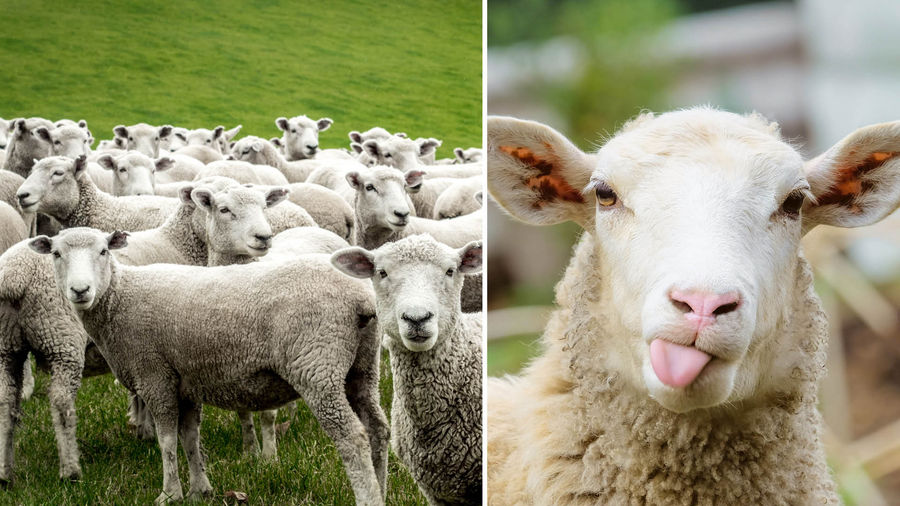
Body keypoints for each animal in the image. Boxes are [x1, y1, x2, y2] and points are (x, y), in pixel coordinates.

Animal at [31, 227, 389, 505]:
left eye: (103, 251)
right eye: (57, 254)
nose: (80, 290)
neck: (120, 297)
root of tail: (361, 298)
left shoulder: (155, 376)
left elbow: (166, 441)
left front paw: (169, 494)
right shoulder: (186, 382)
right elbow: (190, 438)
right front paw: (199, 490)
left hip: (317, 365)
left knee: (352, 437)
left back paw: (367, 497)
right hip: (362, 368)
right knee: (378, 429)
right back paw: (381, 490)